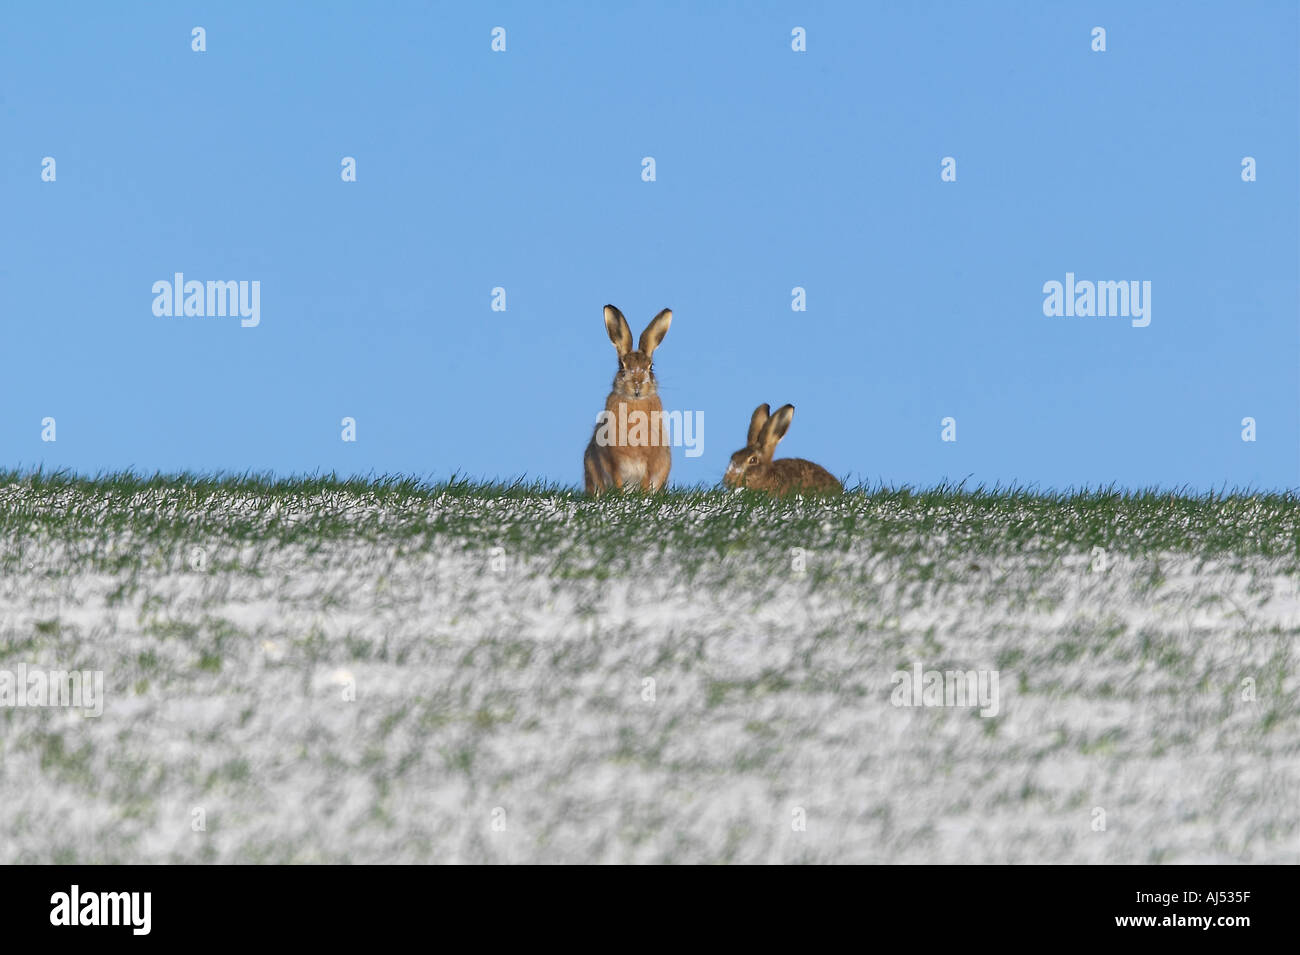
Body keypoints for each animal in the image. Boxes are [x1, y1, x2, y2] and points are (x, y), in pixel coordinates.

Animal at [583, 304, 673, 494]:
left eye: (651, 367)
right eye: (621, 366)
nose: (637, 385)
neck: (635, 402)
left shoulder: (651, 459)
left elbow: (647, 478)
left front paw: (643, 495)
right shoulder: (612, 458)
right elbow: (616, 477)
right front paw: (619, 494)